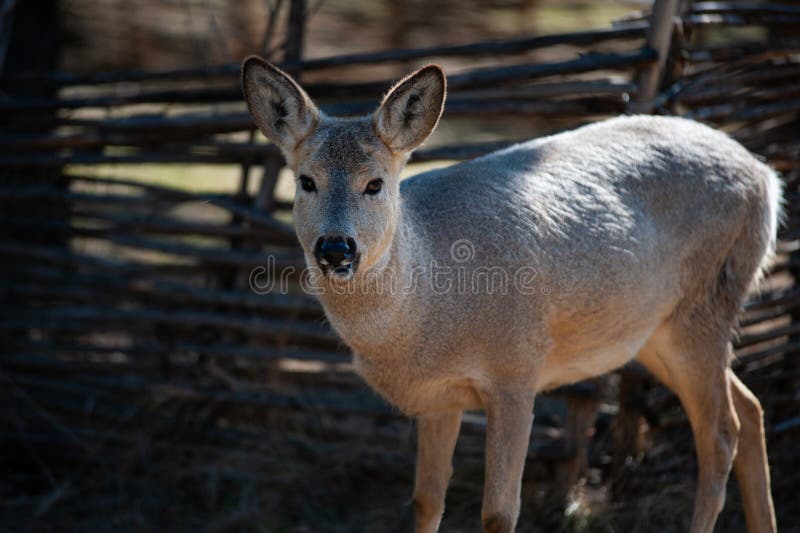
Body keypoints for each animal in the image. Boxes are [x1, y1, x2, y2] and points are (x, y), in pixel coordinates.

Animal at [241, 57, 779, 533]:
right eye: (306, 181)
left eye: (375, 183)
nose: (335, 247)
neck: (429, 309)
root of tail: (766, 178)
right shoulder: (437, 398)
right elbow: (425, 501)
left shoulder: (517, 369)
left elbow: (498, 513)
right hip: (653, 333)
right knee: (751, 408)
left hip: (705, 304)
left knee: (721, 432)